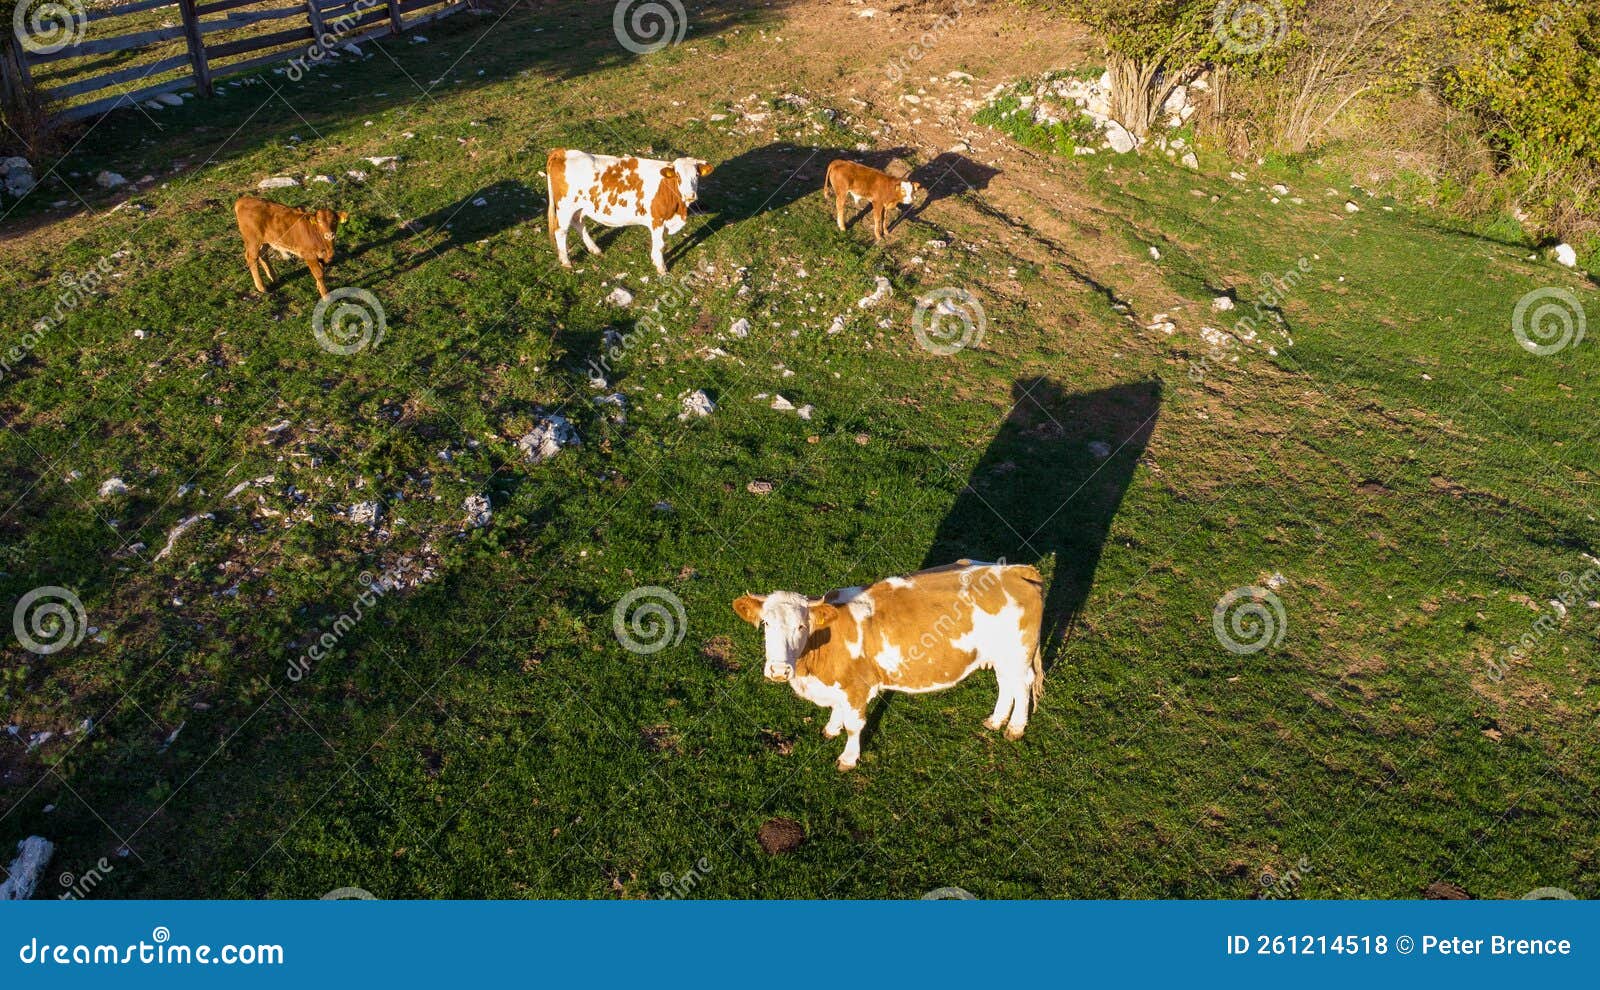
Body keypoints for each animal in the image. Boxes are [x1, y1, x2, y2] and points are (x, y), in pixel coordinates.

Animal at [546, 149, 711, 276]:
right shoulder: (657, 219)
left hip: (579, 207)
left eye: (696, 175)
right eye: (678, 176)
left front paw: (654, 260)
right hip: (565, 207)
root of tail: (563, 152)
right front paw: (661, 268)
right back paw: (566, 262)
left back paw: (595, 249)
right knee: (561, 232)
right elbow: (660, 244)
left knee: (578, 223)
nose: (690, 195)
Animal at [732, 560, 1044, 770]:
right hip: (1001, 655)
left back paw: (1015, 727)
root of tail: (1014, 570)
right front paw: (831, 729)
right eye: (766, 623)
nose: (778, 671)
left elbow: (854, 725)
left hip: (1018, 653)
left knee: (1022, 685)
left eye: (801, 626)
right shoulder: (839, 686)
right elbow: (837, 711)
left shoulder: (857, 687)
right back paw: (995, 720)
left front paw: (848, 758)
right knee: (1005, 683)